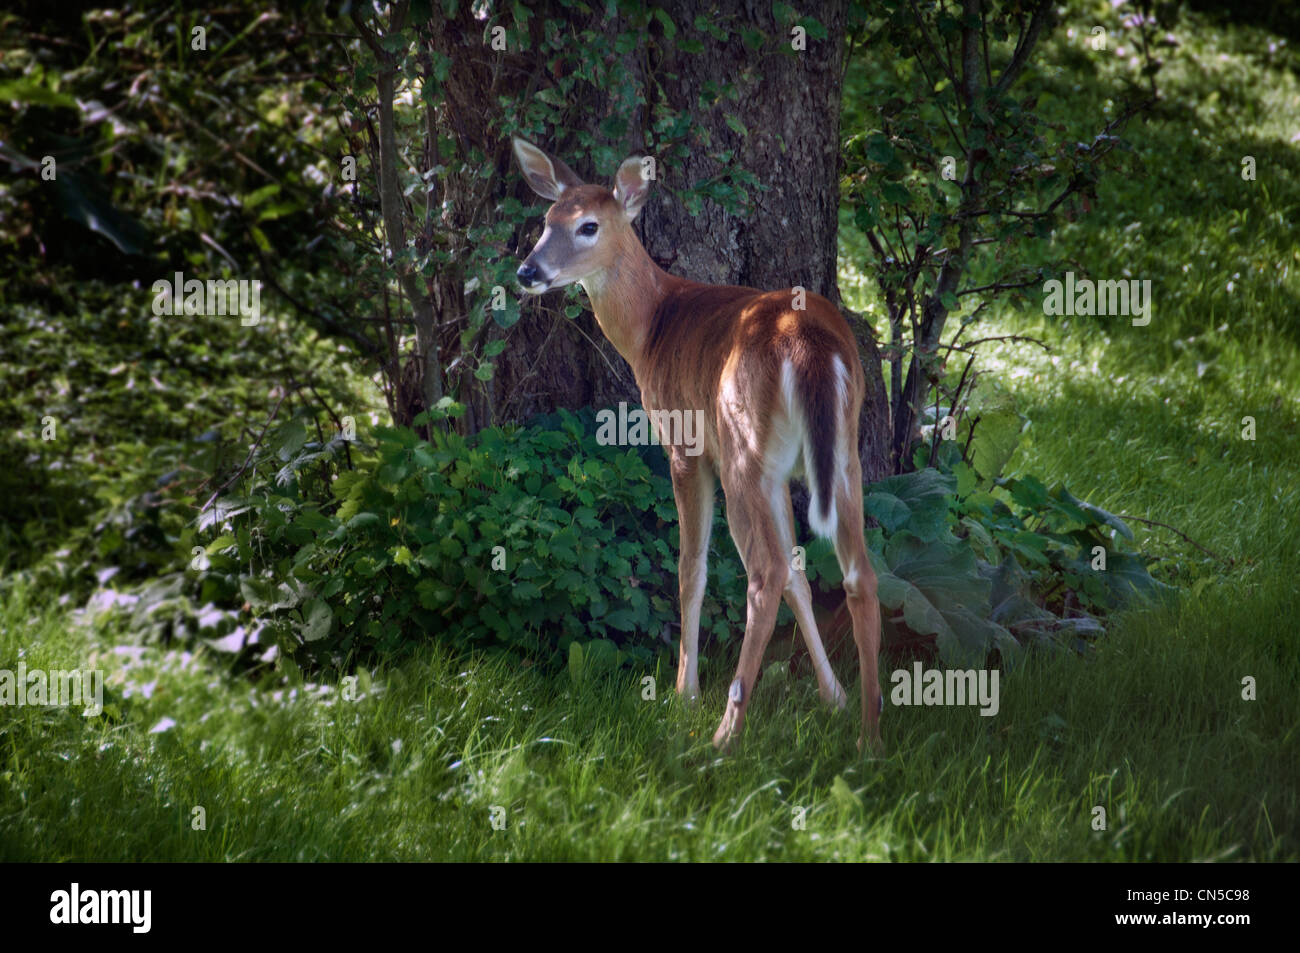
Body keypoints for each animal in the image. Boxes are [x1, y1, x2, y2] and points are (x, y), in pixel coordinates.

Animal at [511, 137, 883, 752]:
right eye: (546, 221)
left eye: (588, 226)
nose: (527, 270)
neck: (651, 325)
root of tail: (807, 342)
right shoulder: (783, 471)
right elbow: (801, 575)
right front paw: (835, 697)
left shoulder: (684, 445)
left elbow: (692, 568)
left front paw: (682, 692)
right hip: (841, 451)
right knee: (853, 572)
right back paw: (868, 737)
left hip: (740, 445)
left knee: (763, 574)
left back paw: (723, 734)